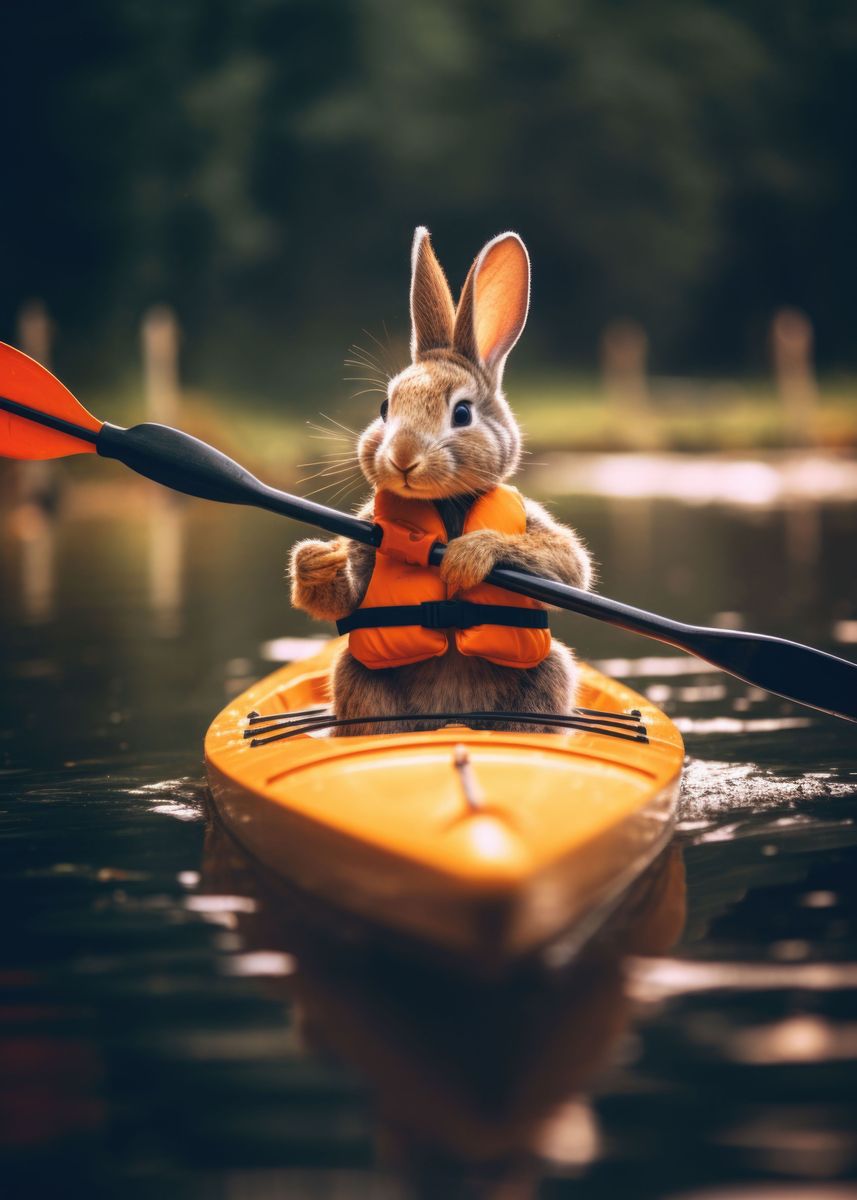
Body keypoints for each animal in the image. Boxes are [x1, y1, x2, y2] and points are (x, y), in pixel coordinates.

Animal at [289, 227, 593, 735]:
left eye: (463, 413)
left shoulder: (543, 535)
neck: (447, 507)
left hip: (547, 673)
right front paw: (317, 560)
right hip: (358, 675)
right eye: (385, 408)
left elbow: (571, 568)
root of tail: (452, 722)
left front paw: (467, 557)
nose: (402, 458)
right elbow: (343, 601)